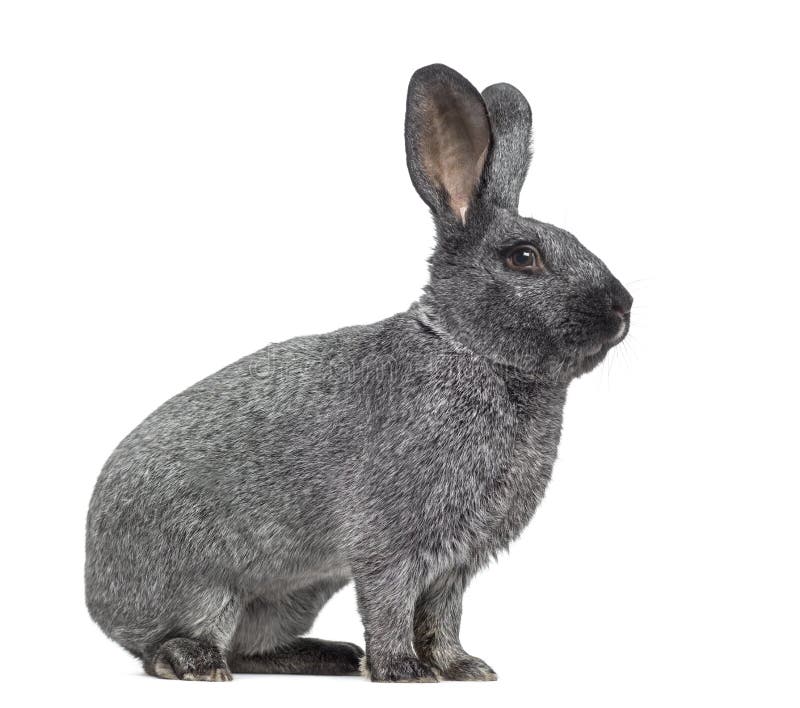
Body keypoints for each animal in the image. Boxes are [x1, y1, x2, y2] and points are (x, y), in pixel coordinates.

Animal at [85, 63, 632, 683]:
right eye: (523, 257)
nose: (623, 306)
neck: (469, 349)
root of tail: (95, 591)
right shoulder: (391, 543)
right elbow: (391, 603)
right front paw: (403, 670)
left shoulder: (455, 566)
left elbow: (442, 617)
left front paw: (463, 668)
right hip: (205, 590)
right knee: (167, 646)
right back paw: (198, 663)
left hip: (292, 598)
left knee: (251, 647)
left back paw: (330, 655)